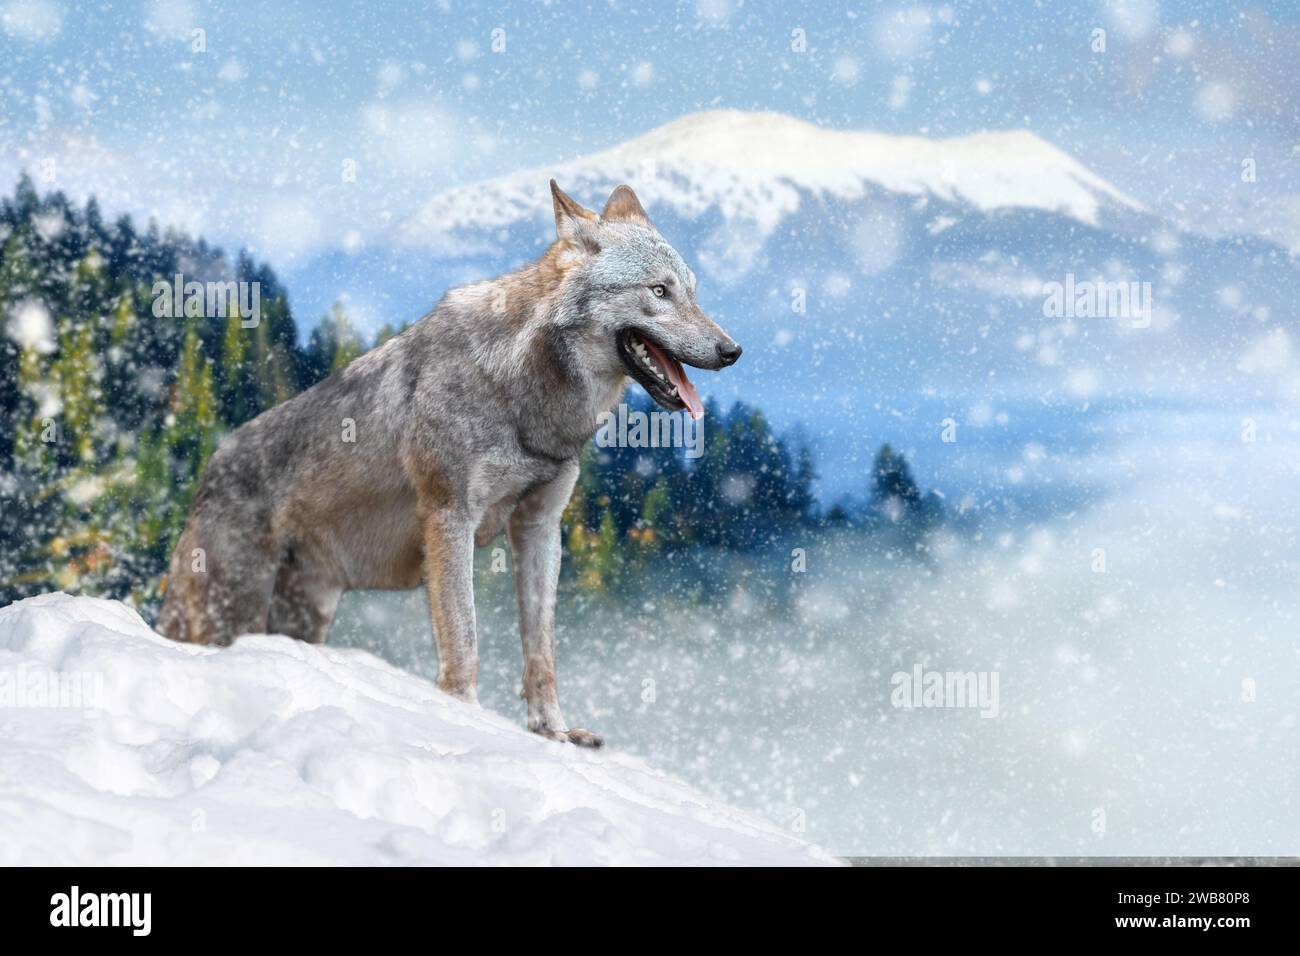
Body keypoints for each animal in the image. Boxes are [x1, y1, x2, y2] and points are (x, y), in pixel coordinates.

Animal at [156, 181, 742, 747]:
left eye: (693, 291)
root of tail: (207, 473)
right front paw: (464, 720)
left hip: (303, 618)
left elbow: (542, 651)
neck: (522, 392)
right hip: (232, 615)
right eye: (659, 291)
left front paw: (553, 732)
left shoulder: (539, 527)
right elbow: (464, 639)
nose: (732, 350)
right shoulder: (449, 517)